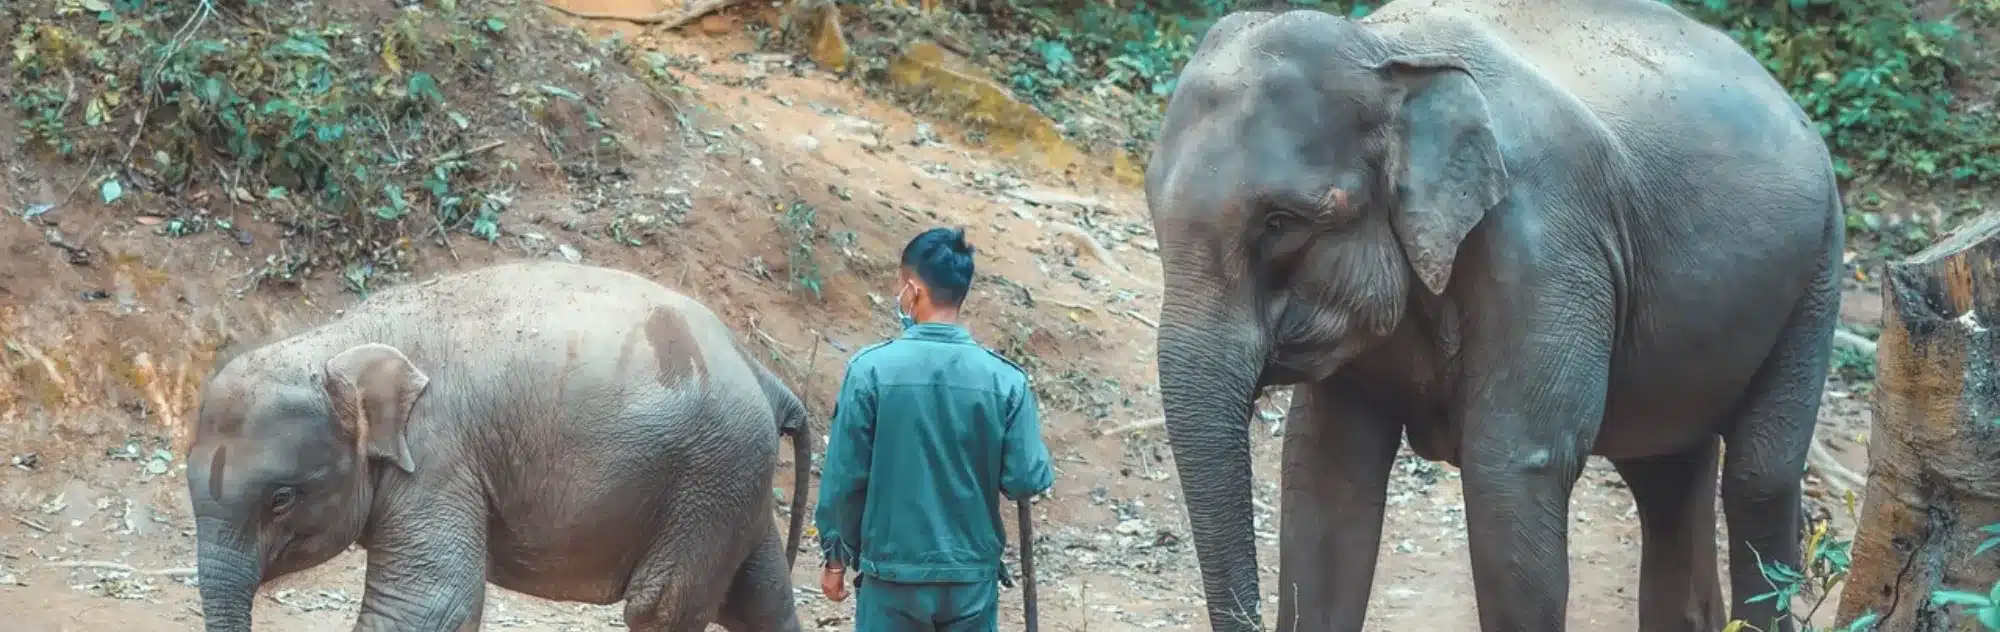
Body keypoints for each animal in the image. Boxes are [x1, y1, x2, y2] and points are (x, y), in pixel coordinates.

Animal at [183, 260, 814, 632]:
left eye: (281, 499)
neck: (340, 341)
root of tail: (763, 373)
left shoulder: (438, 458)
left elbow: (430, 601)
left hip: (712, 476)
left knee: (662, 609)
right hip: (731, 483)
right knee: (758, 599)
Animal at [1144, 2, 1842, 631]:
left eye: (1280, 223)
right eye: (1152, 206)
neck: (1386, 52)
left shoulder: (1546, 246)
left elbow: (1513, 471)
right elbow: (1328, 467)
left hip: (1817, 274)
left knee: (1758, 474)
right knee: (1665, 478)